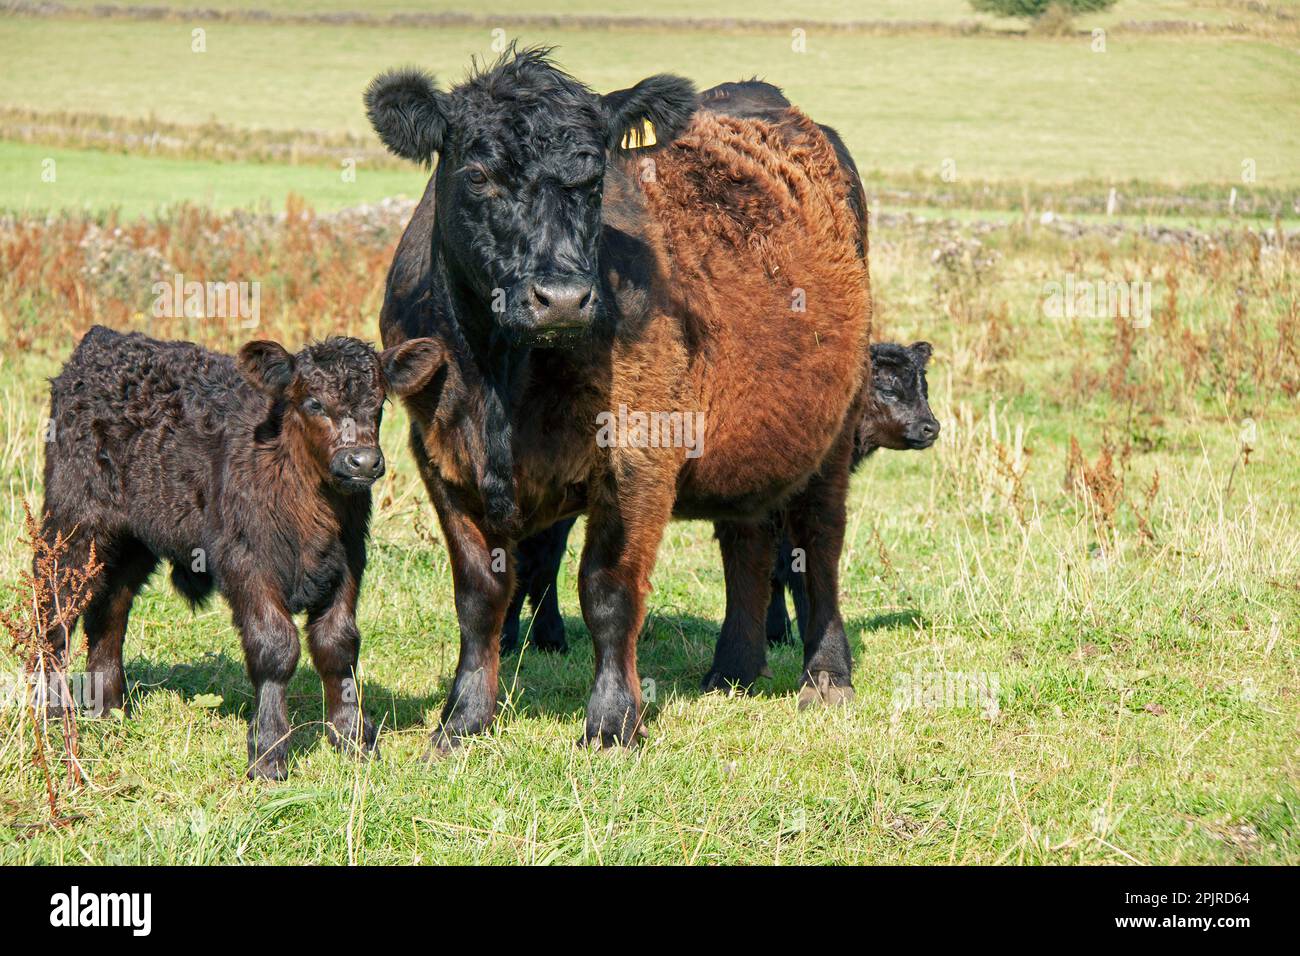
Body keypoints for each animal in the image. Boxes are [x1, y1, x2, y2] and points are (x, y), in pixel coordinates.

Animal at [37, 326, 443, 779]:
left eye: (379, 404)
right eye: (314, 402)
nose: (363, 462)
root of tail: (101, 340)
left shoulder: (349, 558)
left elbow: (338, 645)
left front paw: (354, 740)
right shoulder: (246, 559)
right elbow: (275, 646)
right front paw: (268, 753)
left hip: (133, 538)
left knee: (110, 610)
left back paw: (107, 710)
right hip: (72, 521)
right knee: (54, 609)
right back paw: (52, 713)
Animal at [369, 46, 873, 751]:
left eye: (594, 179)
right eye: (478, 175)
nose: (561, 299)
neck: (500, 378)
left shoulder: (640, 451)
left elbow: (607, 591)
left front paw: (611, 723)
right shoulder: (439, 453)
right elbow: (480, 593)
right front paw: (462, 719)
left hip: (833, 425)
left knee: (817, 542)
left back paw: (826, 678)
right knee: (746, 543)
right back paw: (733, 670)